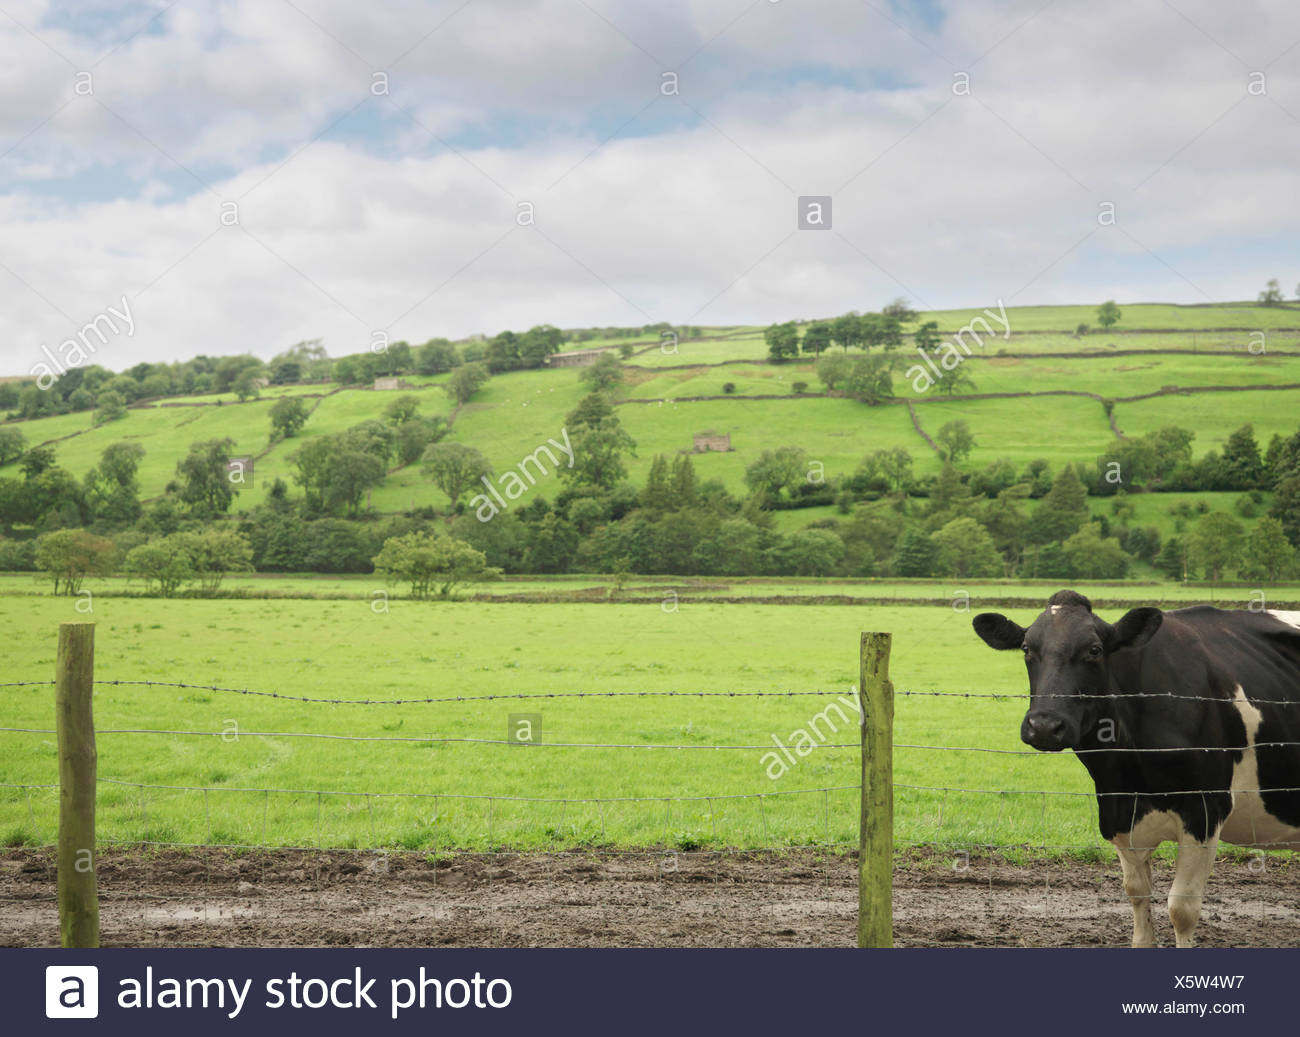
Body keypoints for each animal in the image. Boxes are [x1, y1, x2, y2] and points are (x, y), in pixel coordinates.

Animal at [972, 589, 1300, 947]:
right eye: (1027, 648)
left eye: (1094, 650)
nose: (1044, 726)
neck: (1128, 767)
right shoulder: (1118, 815)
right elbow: (1137, 894)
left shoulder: (1205, 810)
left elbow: (1182, 909)